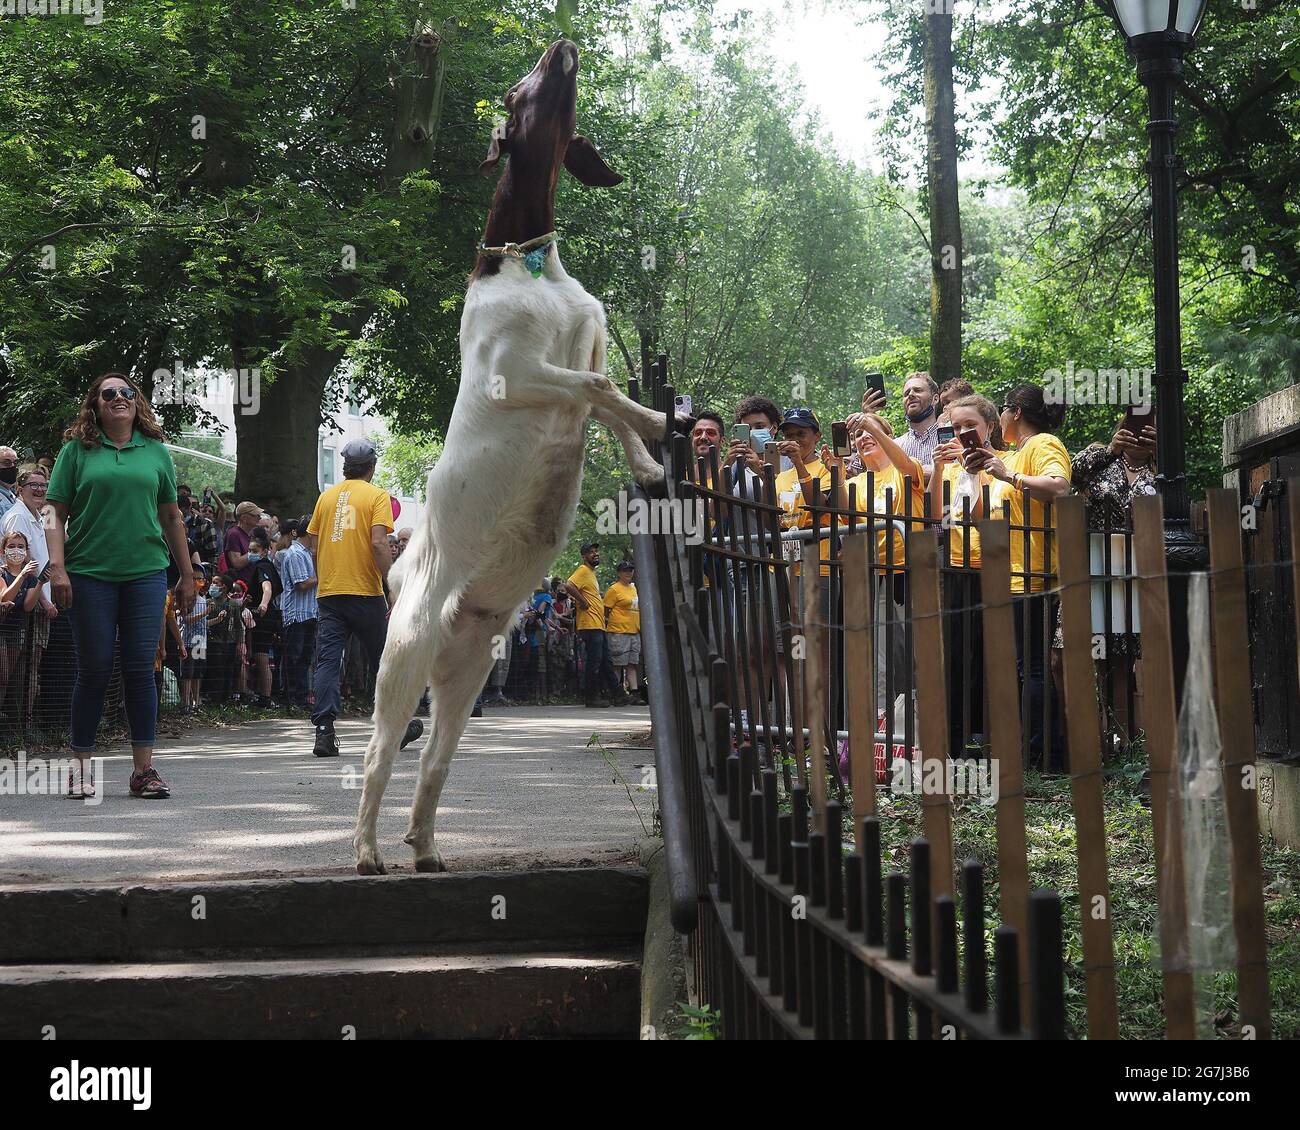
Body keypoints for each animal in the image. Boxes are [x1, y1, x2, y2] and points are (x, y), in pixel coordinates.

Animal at [353, 39, 668, 875]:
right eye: (514, 88)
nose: (561, 45)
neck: (522, 261)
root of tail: (407, 574)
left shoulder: (585, 337)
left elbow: (603, 393)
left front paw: (650, 459)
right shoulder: (517, 372)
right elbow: (599, 388)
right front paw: (663, 420)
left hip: (468, 674)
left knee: (436, 762)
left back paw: (426, 846)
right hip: (403, 657)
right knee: (379, 752)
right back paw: (366, 850)